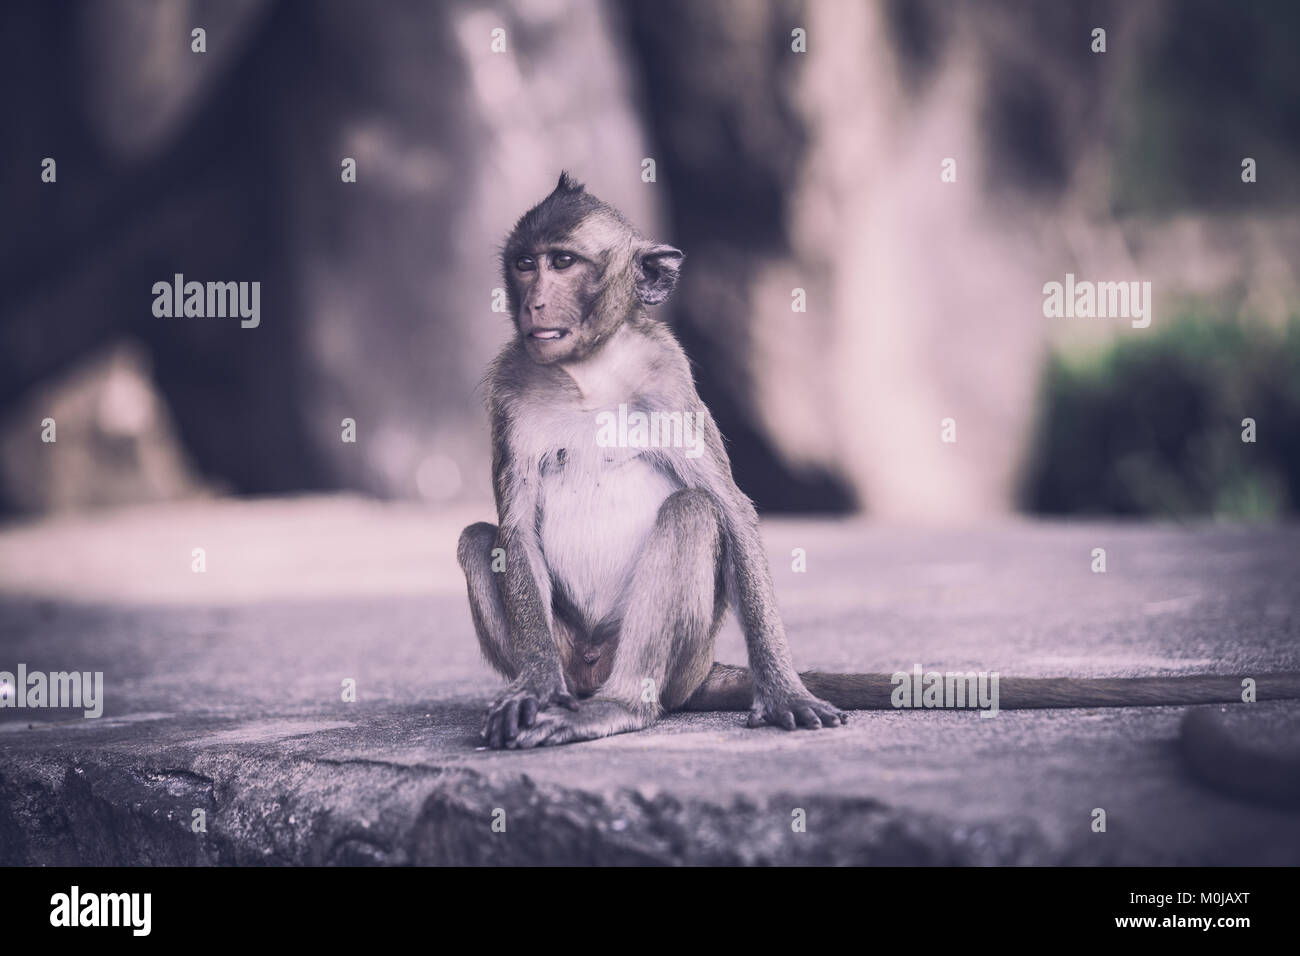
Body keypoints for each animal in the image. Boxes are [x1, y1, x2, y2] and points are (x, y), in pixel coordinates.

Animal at [458, 172, 1300, 751]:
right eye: (525, 264)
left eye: (564, 261)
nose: (533, 303)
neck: (590, 372)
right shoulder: (510, 386)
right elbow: (515, 525)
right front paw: (532, 692)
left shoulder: (669, 380)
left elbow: (728, 506)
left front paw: (785, 692)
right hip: (571, 644)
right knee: (480, 540)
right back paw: (561, 694)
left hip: (680, 657)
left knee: (690, 515)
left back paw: (618, 709)